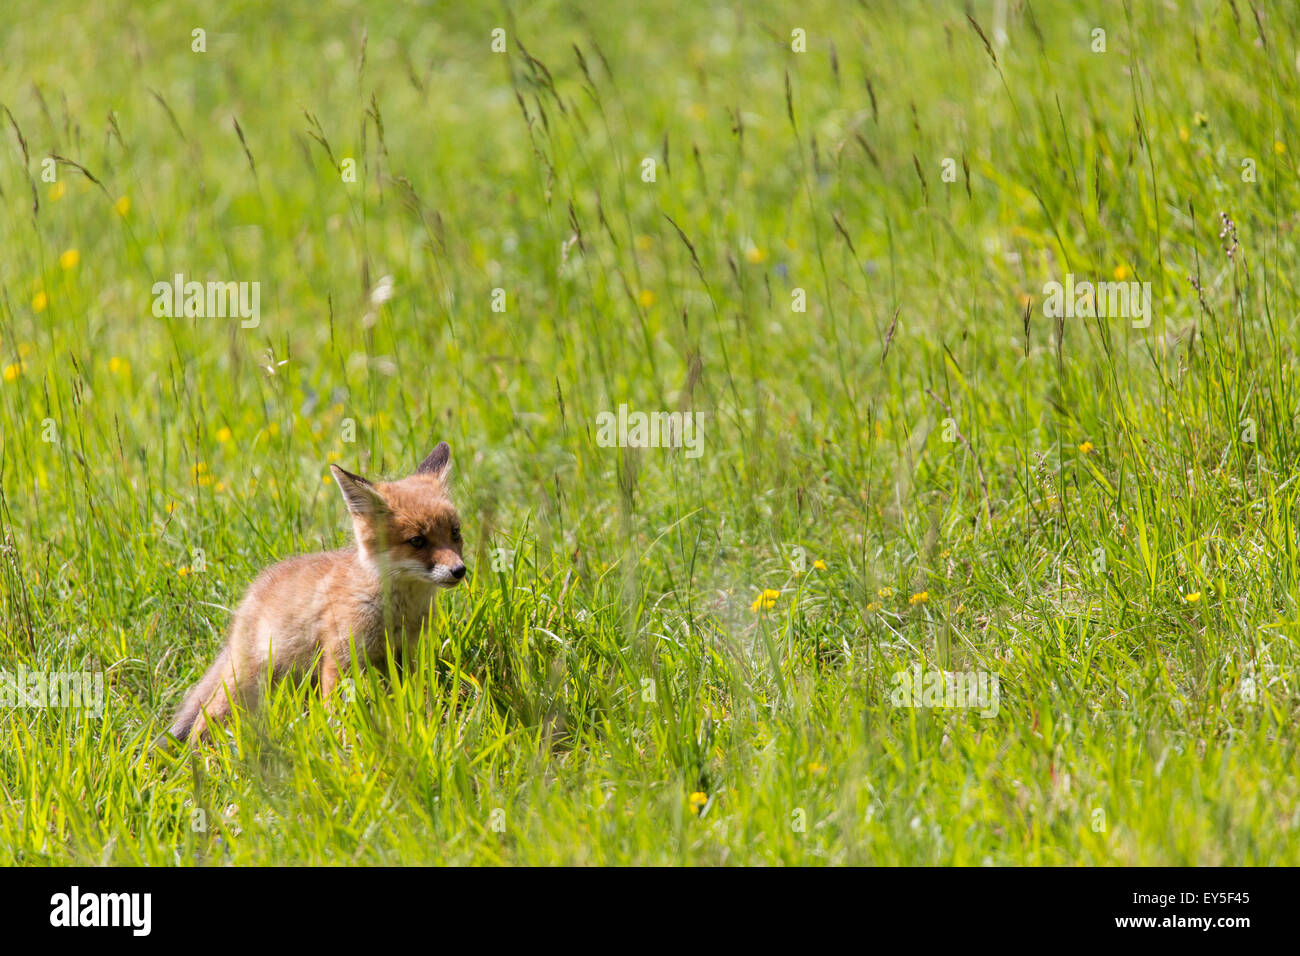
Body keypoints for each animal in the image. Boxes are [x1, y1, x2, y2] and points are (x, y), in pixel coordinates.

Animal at [166, 441, 466, 743]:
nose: (459, 570)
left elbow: (410, 698)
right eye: (417, 541)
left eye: (455, 533)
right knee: (205, 717)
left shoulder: (404, 655)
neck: (396, 609)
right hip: (246, 681)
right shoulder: (341, 657)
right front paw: (341, 742)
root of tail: (253, 592)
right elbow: (337, 710)